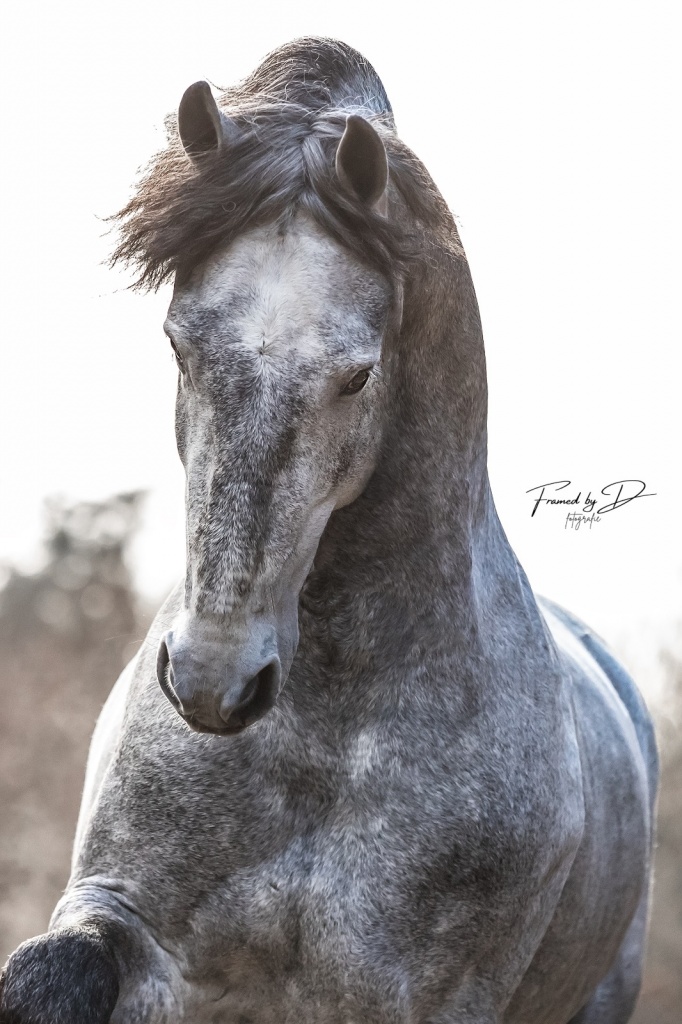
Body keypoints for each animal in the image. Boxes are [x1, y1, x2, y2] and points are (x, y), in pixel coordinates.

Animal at [0, 37, 658, 1024]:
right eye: (177, 344)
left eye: (356, 376)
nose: (214, 682)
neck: (323, 747)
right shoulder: (130, 928)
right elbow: (45, 975)